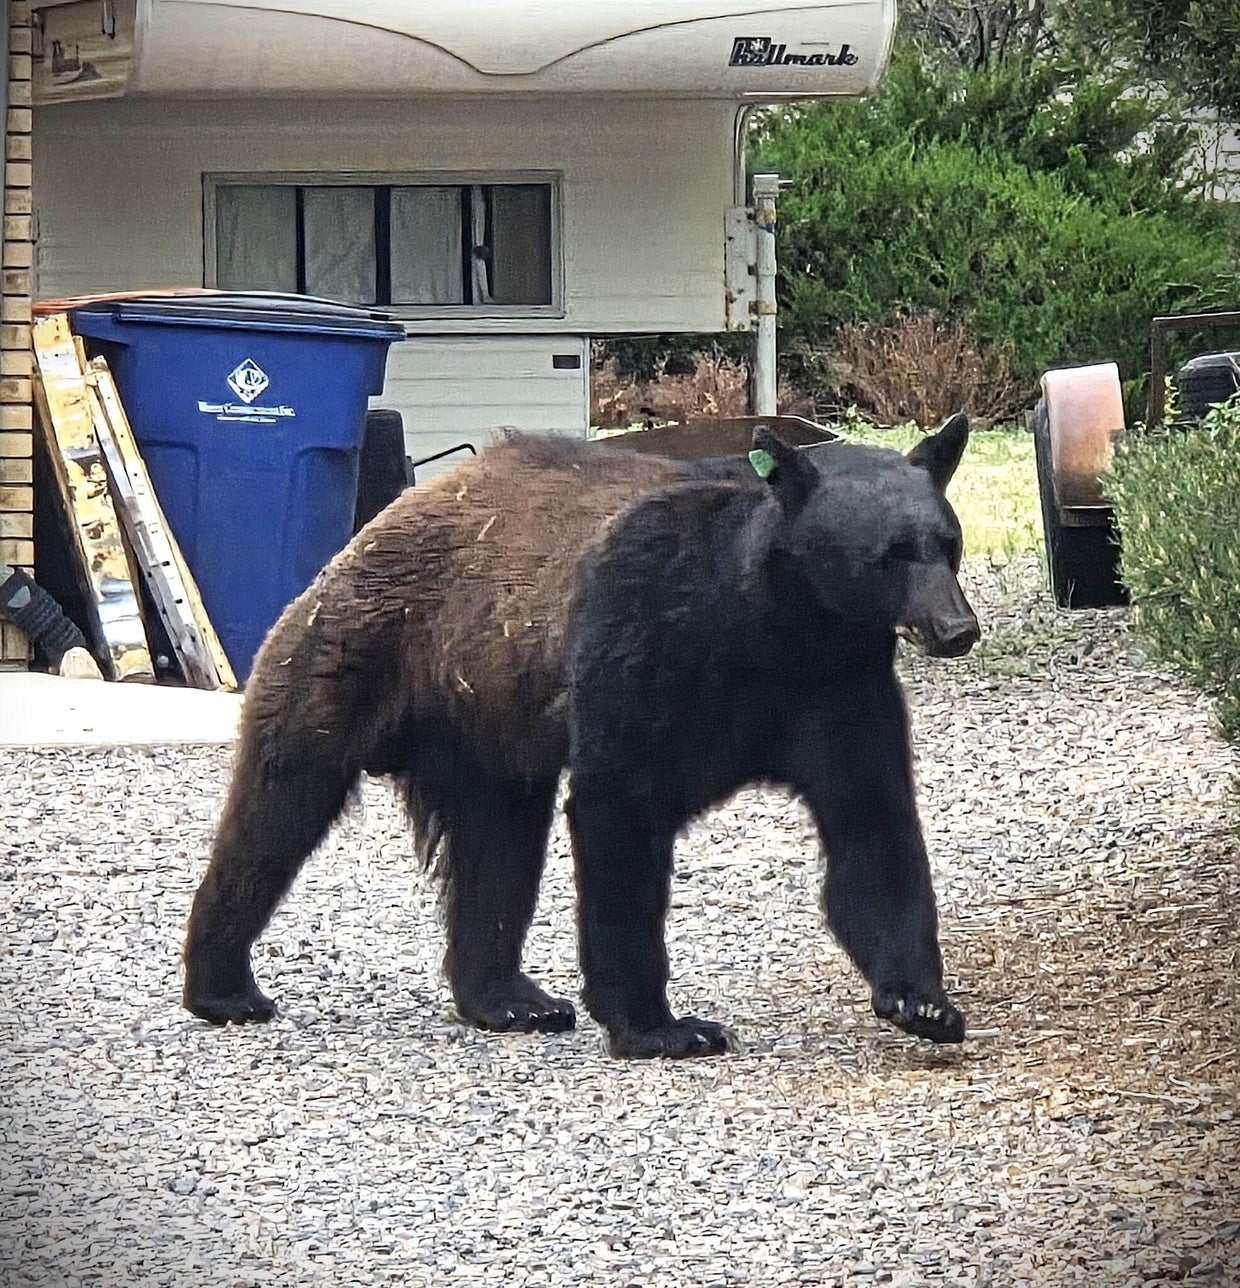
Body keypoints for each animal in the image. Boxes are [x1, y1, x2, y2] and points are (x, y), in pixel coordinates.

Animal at [182, 417, 979, 1058]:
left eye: (948, 543)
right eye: (889, 554)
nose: (956, 628)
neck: (771, 624)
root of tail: (384, 517)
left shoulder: (837, 688)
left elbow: (871, 827)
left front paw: (923, 1002)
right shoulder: (643, 640)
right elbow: (620, 811)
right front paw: (664, 1026)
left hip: (486, 729)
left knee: (498, 849)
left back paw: (511, 999)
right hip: (357, 650)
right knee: (280, 803)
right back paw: (225, 987)